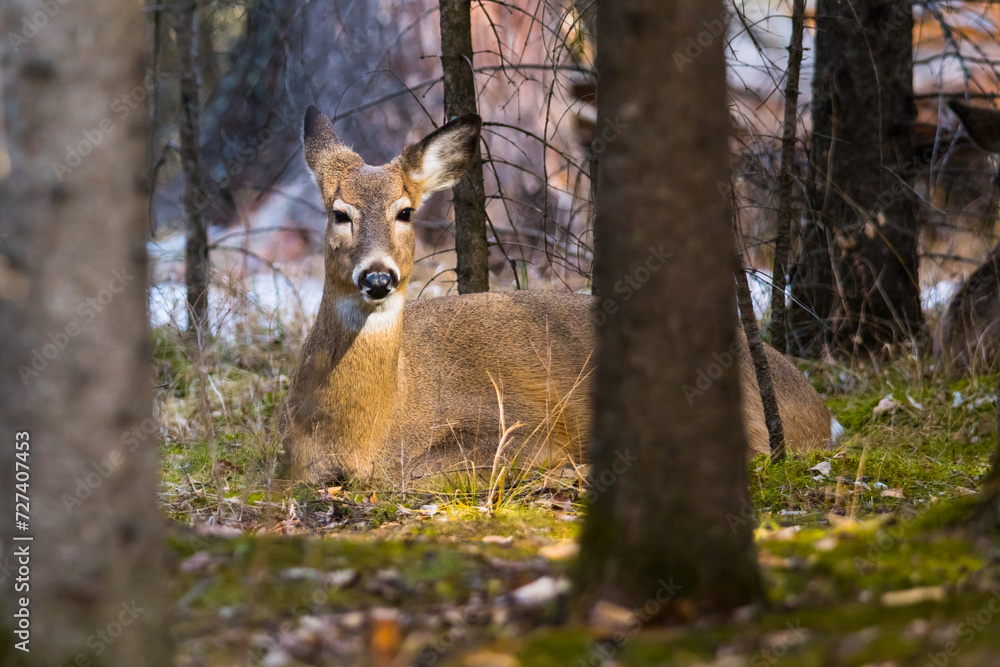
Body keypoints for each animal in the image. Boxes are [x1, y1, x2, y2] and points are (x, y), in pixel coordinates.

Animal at [281, 106, 841, 485]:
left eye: (405, 212)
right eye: (339, 213)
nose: (378, 278)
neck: (370, 430)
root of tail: (818, 410)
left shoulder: (515, 426)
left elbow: (424, 471)